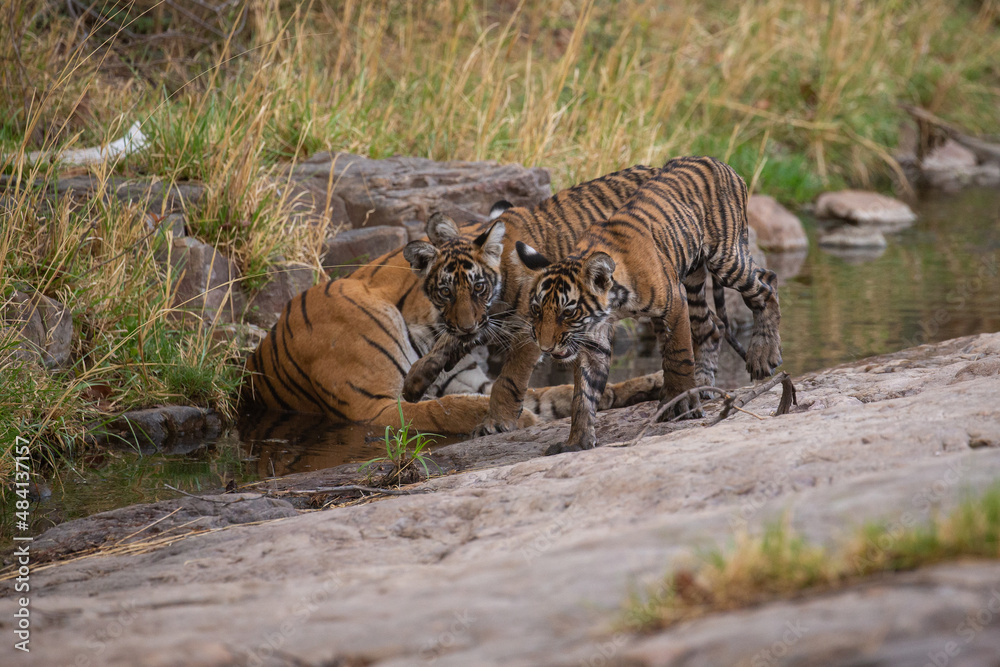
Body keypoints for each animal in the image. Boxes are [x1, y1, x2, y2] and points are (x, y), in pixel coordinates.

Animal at [241, 202, 664, 434]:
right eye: (467, 288)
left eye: (482, 287)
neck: (423, 326)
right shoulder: (374, 406)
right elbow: (443, 409)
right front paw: (519, 419)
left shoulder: (470, 380)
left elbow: (550, 392)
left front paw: (651, 383)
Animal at [402, 164, 736, 437]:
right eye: (445, 292)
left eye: (479, 287)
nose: (468, 326)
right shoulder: (482, 320)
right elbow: (444, 343)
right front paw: (413, 382)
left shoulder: (528, 330)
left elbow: (508, 379)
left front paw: (496, 422)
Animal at [515, 155, 782, 453]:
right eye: (537, 310)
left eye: (568, 312)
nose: (546, 348)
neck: (615, 303)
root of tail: (713, 159)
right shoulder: (593, 337)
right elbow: (583, 393)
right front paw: (577, 441)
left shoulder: (674, 305)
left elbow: (677, 357)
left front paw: (680, 403)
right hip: (692, 279)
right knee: (711, 328)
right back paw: (703, 385)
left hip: (725, 258)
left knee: (767, 283)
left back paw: (763, 356)